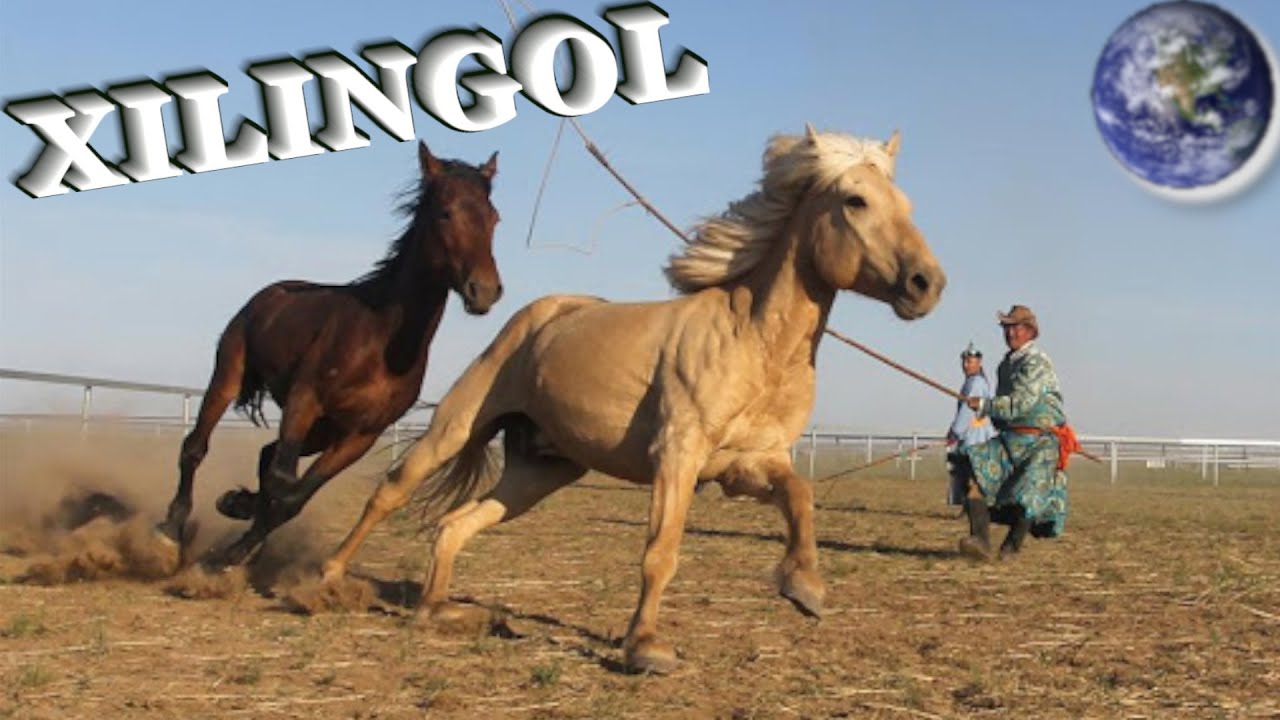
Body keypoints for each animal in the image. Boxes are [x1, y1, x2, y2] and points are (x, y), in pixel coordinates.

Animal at [154, 140, 505, 570]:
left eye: (494, 218)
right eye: (446, 212)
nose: (484, 290)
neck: (380, 343)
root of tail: (269, 294)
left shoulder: (359, 436)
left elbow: (293, 496)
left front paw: (236, 534)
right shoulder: (305, 401)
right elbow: (283, 482)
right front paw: (233, 537)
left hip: (322, 432)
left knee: (266, 455)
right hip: (230, 375)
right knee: (196, 447)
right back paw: (171, 530)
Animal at [320, 125, 946, 673]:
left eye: (907, 203)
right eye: (855, 200)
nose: (927, 284)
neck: (755, 344)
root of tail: (539, 315)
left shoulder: (747, 465)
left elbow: (801, 498)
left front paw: (804, 586)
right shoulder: (678, 456)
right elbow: (660, 552)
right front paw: (645, 647)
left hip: (542, 469)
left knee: (456, 523)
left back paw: (438, 611)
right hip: (458, 425)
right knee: (391, 491)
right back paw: (327, 583)